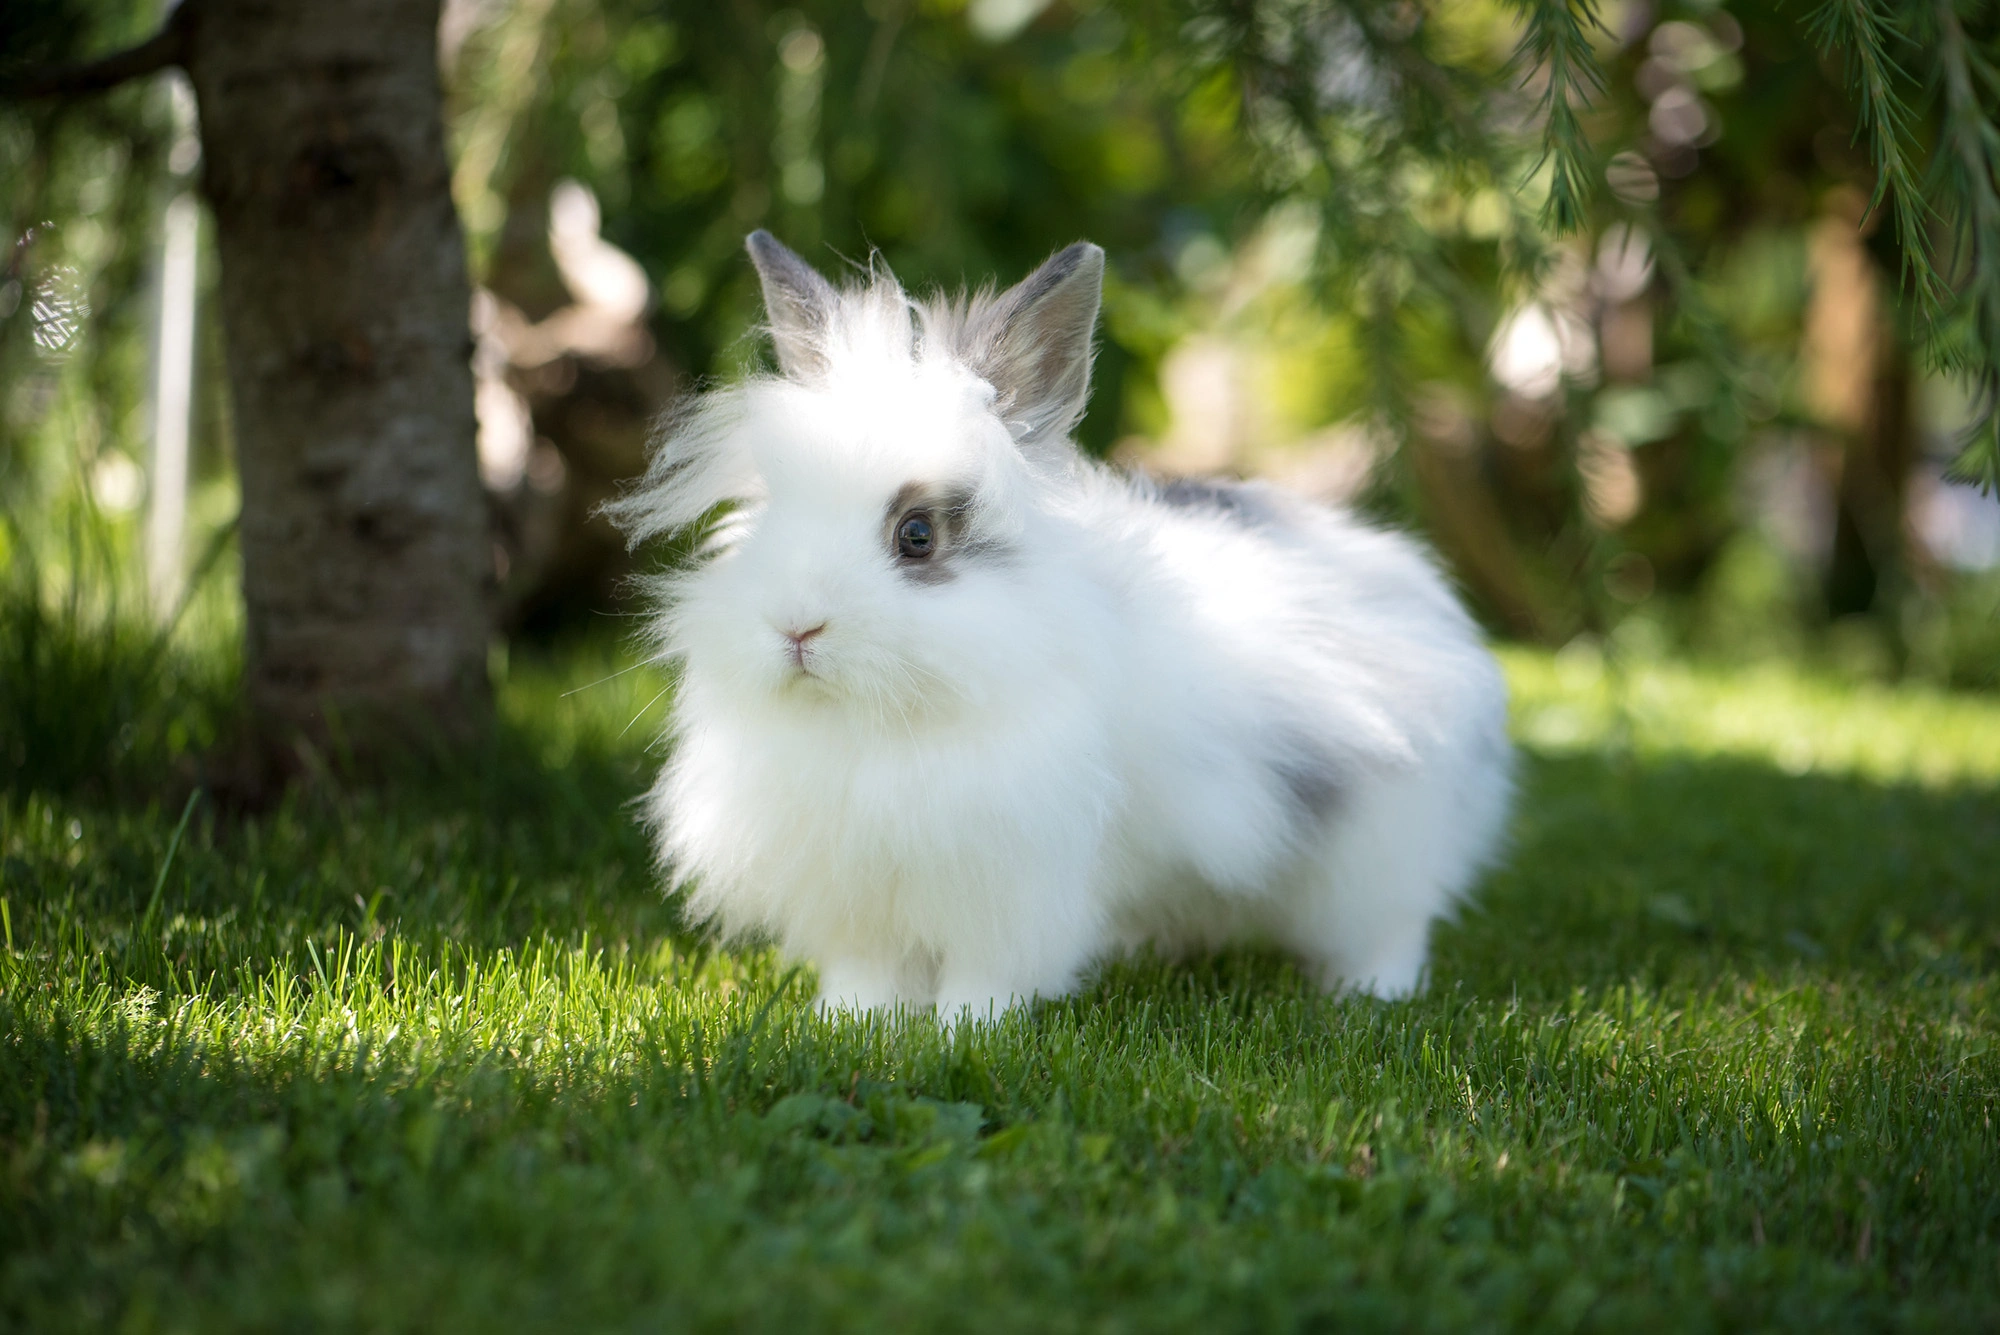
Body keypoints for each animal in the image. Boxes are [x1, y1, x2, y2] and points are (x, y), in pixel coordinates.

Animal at [608, 231, 1514, 1022]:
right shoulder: (862, 896)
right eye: (775, 513)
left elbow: (987, 974)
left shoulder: (1010, 884)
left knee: (1391, 926)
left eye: (916, 535)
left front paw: (965, 1031)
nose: (798, 627)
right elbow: (868, 973)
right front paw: (848, 1025)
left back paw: (1371, 996)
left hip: (1377, 849)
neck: (880, 726)